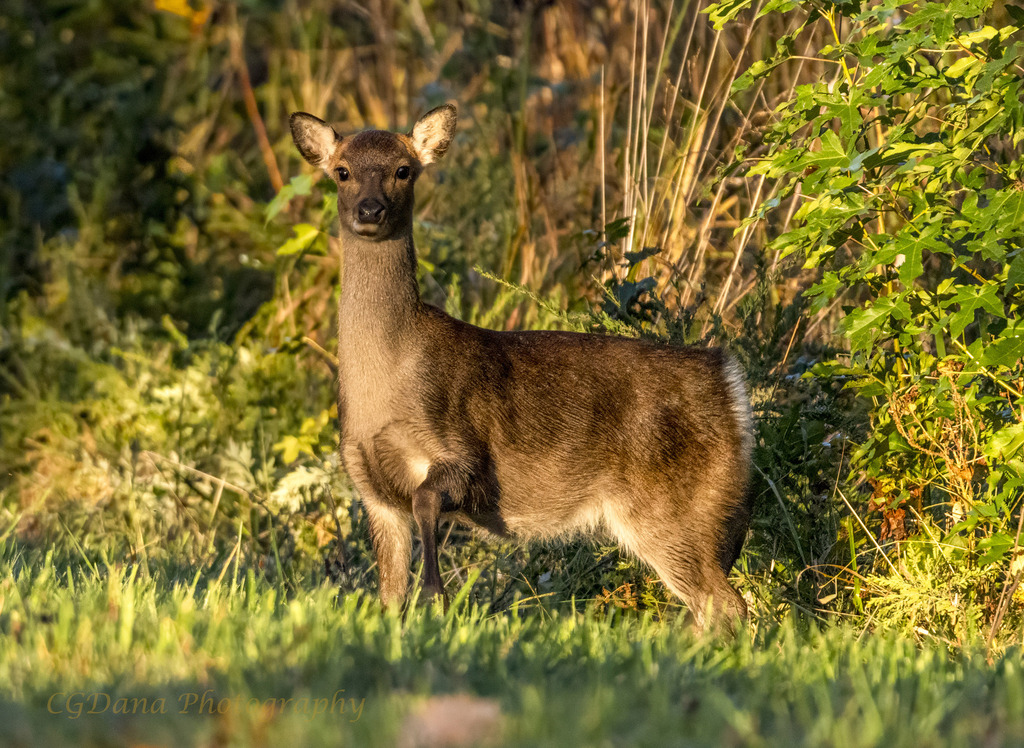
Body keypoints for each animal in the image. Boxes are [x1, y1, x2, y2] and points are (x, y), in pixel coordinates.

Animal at [289, 103, 754, 630]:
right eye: (342, 172)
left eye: (403, 170)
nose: (370, 210)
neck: (385, 384)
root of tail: (729, 383)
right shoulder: (373, 490)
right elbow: (388, 598)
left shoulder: (463, 450)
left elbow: (428, 499)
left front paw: (437, 591)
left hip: (674, 506)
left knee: (726, 605)